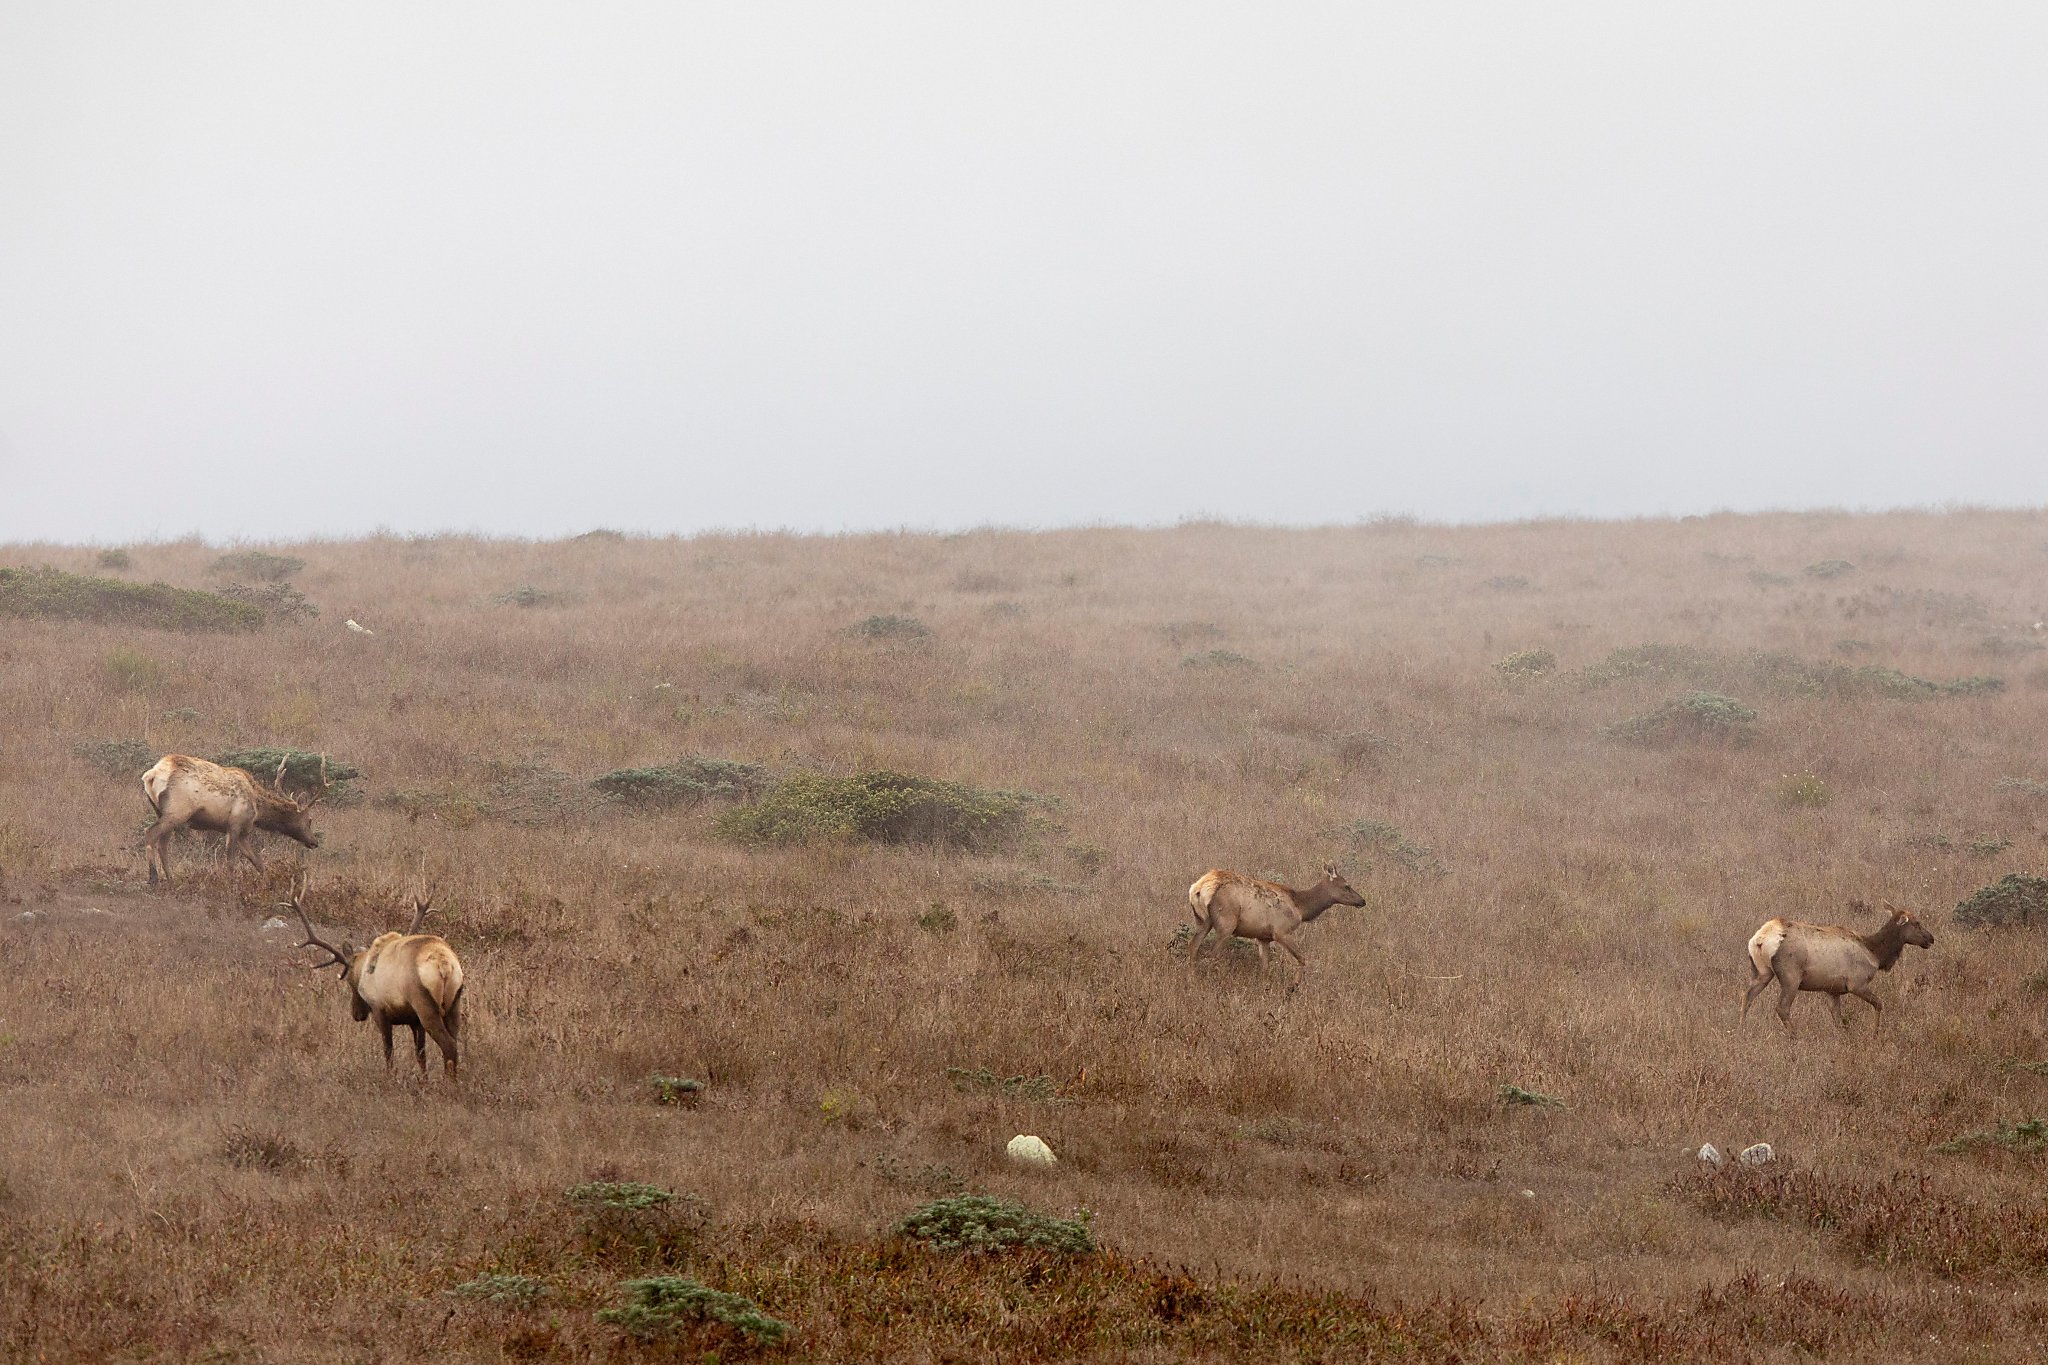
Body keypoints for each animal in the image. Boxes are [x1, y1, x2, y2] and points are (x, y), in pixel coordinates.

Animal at [142, 753, 329, 885]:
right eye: (309, 819)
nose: (314, 842)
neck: (257, 809)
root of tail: (151, 775)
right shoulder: (234, 824)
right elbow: (231, 861)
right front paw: (231, 885)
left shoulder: (243, 833)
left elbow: (258, 862)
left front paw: (269, 884)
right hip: (177, 811)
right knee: (150, 833)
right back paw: (153, 878)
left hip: (162, 812)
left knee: (163, 844)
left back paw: (171, 879)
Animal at [288, 875, 465, 1082]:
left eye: (350, 982)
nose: (357, 1014)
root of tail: (444, 964)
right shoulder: (414, 1020)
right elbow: (420, 1055)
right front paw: (424, 1081)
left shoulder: (379, 1010)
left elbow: (388, 1051)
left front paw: (390, 1079)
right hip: (454, 1002)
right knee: (455, 1042)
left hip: (425, 1004)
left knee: (449, 1045)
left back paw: (449, 1083)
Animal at [1185, 863, 1369, 988]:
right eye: (1346, 886)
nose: (1362, 901)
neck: (1301, 908)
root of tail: (1198, 888)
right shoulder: (1281, 931)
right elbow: (1302, 958)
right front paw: (1293, 986)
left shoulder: (1263, 937)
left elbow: (1265, 967)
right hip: (1226, 922)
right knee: (1212, 953)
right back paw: (1217, 980)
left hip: (1202, 920)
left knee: (1193, 945)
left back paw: (1192, 978)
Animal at [1741, 901, 1935, 1031]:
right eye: (1917, 923)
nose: (1931, 938)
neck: (1876, 954)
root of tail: (1760, 939)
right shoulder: (1856, 984)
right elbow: (1879, 1004)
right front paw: (1875, 1033)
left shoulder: (1833, 990)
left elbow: (1838, 1020)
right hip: (1791, 977)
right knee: (1782, 1007)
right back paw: (1795, 1036)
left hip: (1761, 972)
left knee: (1747, 996)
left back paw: (1741, 1030)